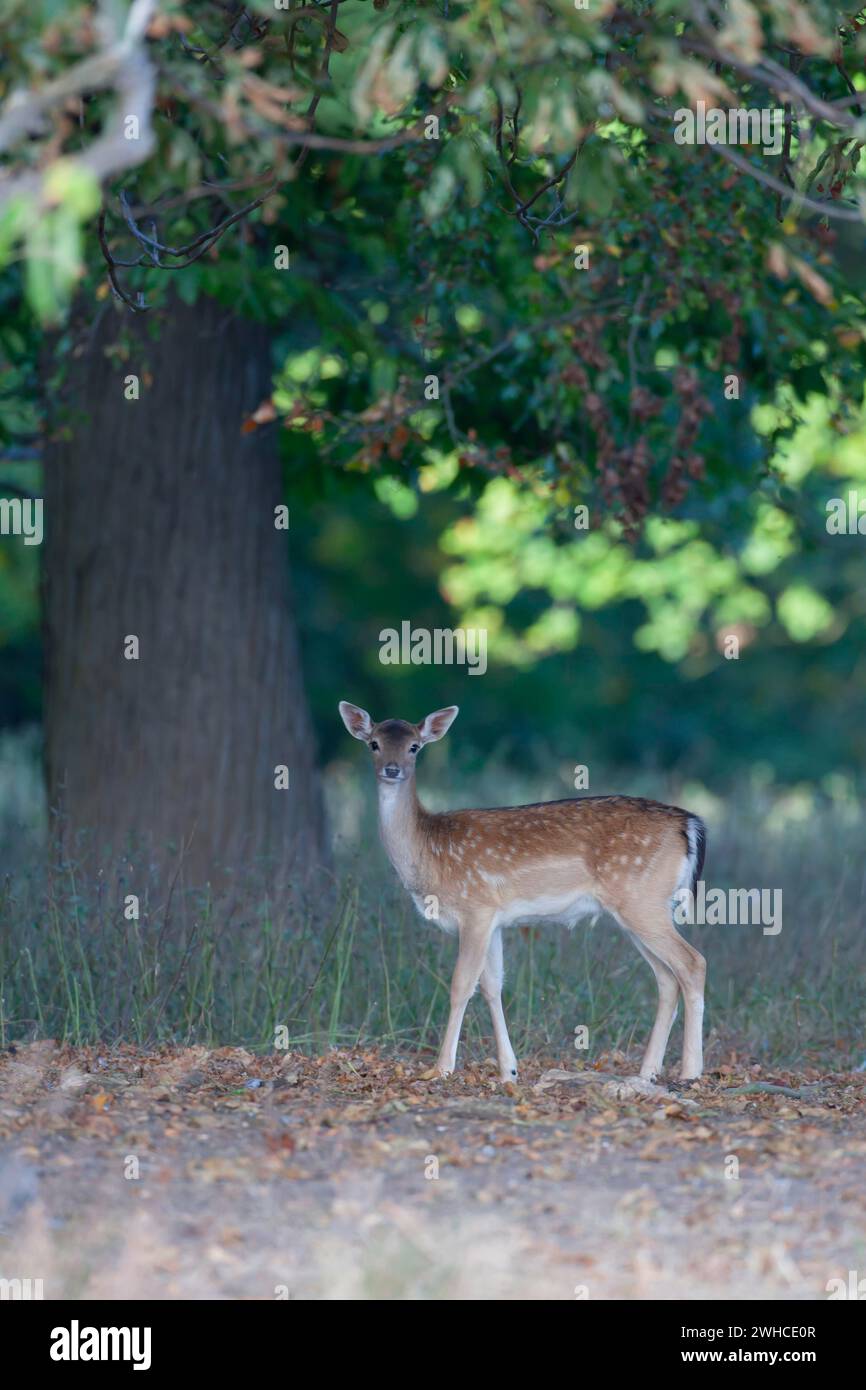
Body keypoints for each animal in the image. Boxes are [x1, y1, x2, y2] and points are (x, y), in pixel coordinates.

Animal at [339, 701, 707, 1085]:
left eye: (414, 746)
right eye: (374, 744)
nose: (392, 769)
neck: (430, 855)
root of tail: (689, 824)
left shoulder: (476, 907)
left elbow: (461, 984)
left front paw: (441, 1068)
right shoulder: (494, 920)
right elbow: (492, 986)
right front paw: (508, 1071)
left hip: (641, 899)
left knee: (692, 963)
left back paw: (690, 1070)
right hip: (638, 908)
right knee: (667, 978)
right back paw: (648, 1072)